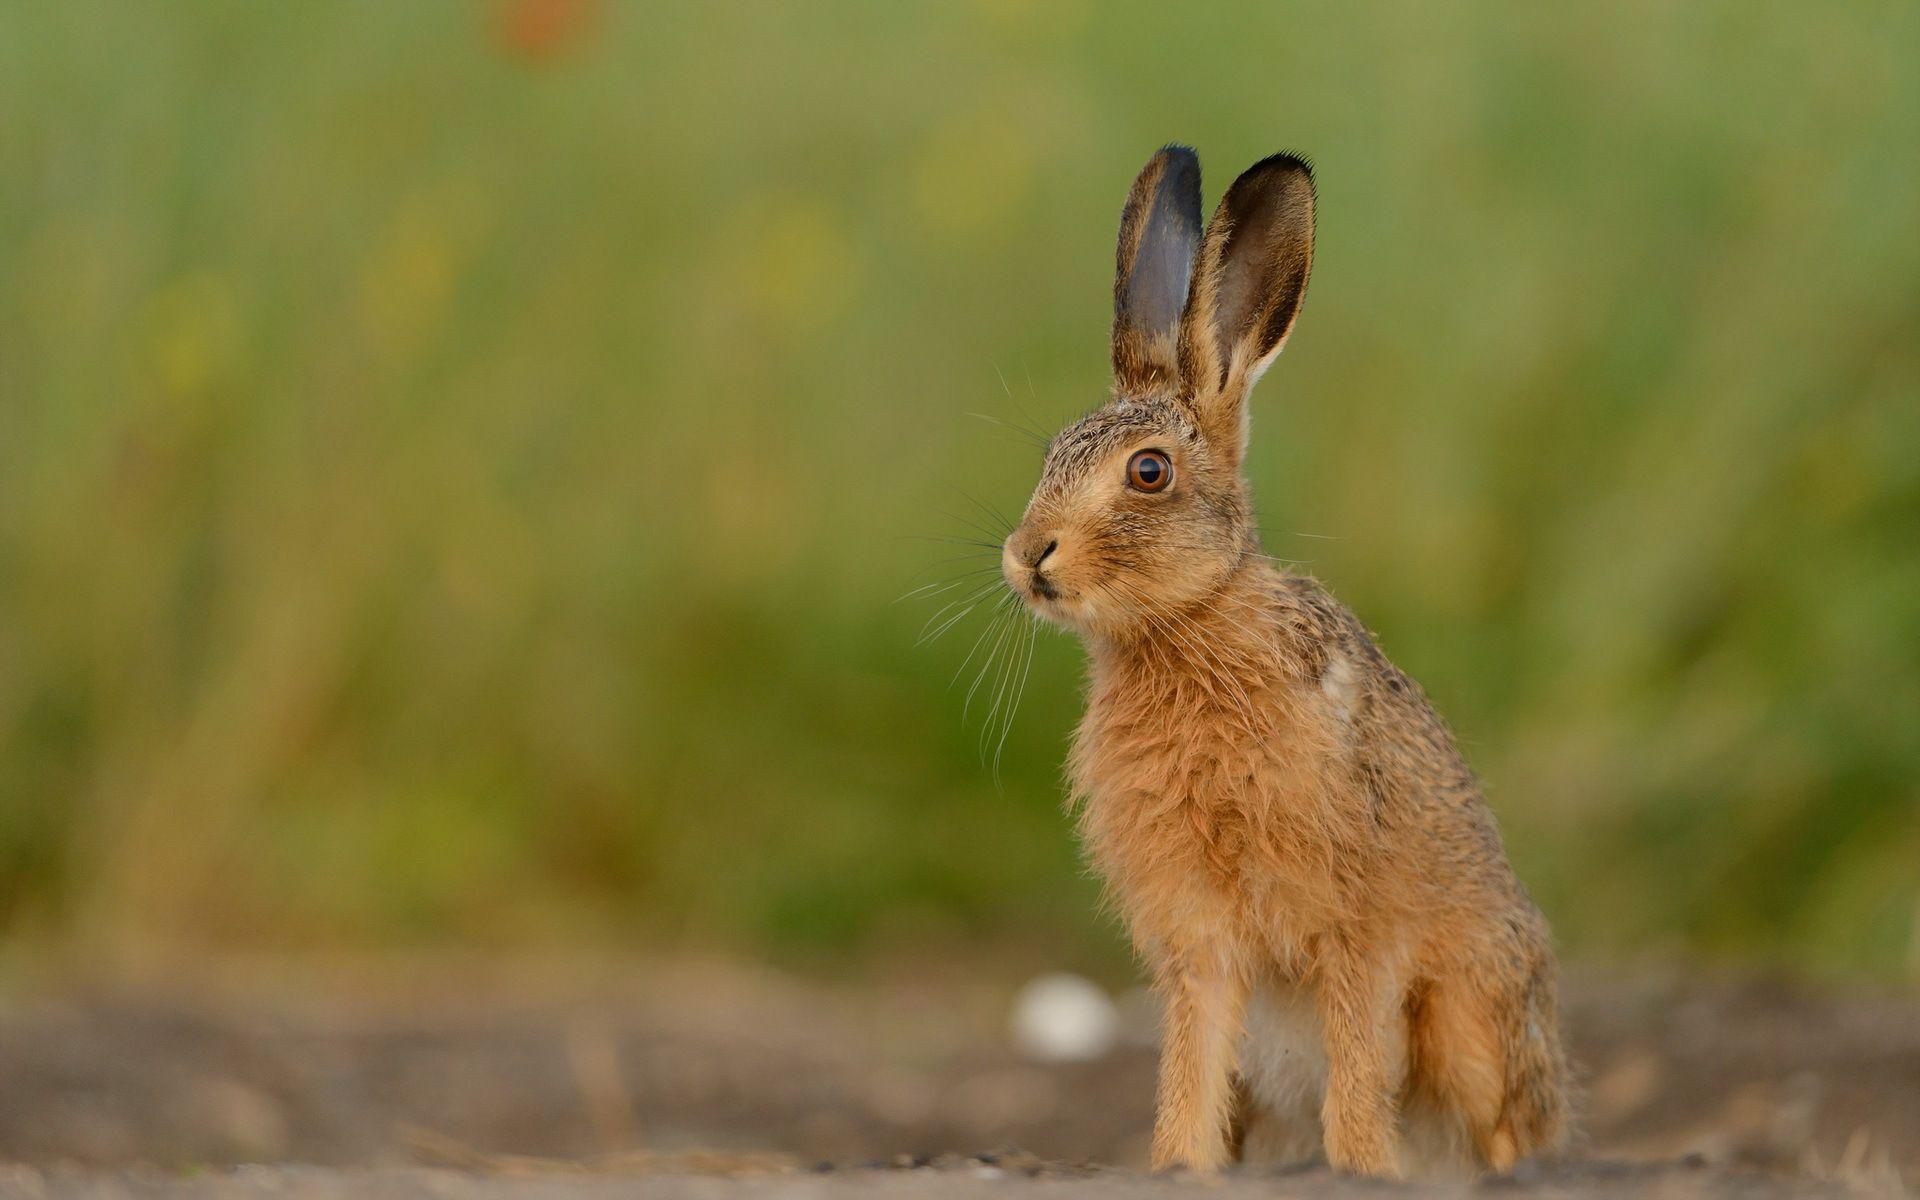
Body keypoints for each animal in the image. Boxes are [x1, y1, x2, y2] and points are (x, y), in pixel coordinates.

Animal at [997, 146, 1570, 1179]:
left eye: (1149, 472)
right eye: (1053, 453)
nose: (1028, 556)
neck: (1189, 631)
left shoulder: (1355, 929)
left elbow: (1356, 1068)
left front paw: (1362, 1167)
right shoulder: (1200, 942)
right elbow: (1190, 1067)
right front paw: (1177, 1165)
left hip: (1469, 1019)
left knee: (1503, 1119)